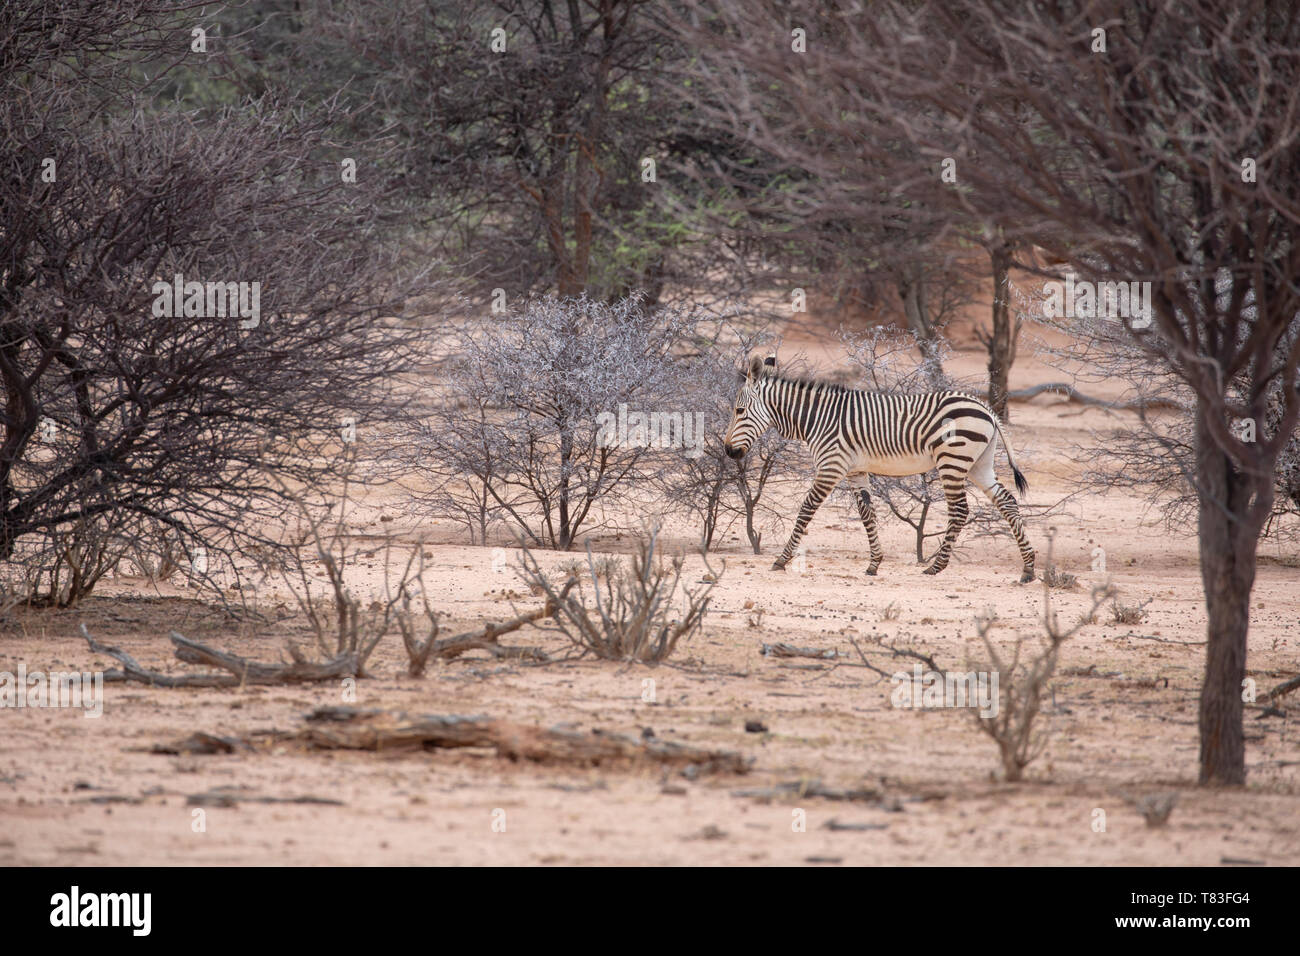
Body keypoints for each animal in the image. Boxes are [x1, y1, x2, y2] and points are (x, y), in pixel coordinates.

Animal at [723, 355, 1035, 583]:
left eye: (739, 411)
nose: (728, 451)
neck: (817, 418)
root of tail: (986, 408)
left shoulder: (831, 466)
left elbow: (806, 510)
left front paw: (782, 559)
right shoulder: (855, 471)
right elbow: (867, 514)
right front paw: (874, 563)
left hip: (953, 461)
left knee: (959, 510)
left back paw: (936, 566)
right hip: (979, 465)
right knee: (1007, 502)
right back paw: (1028, 568)